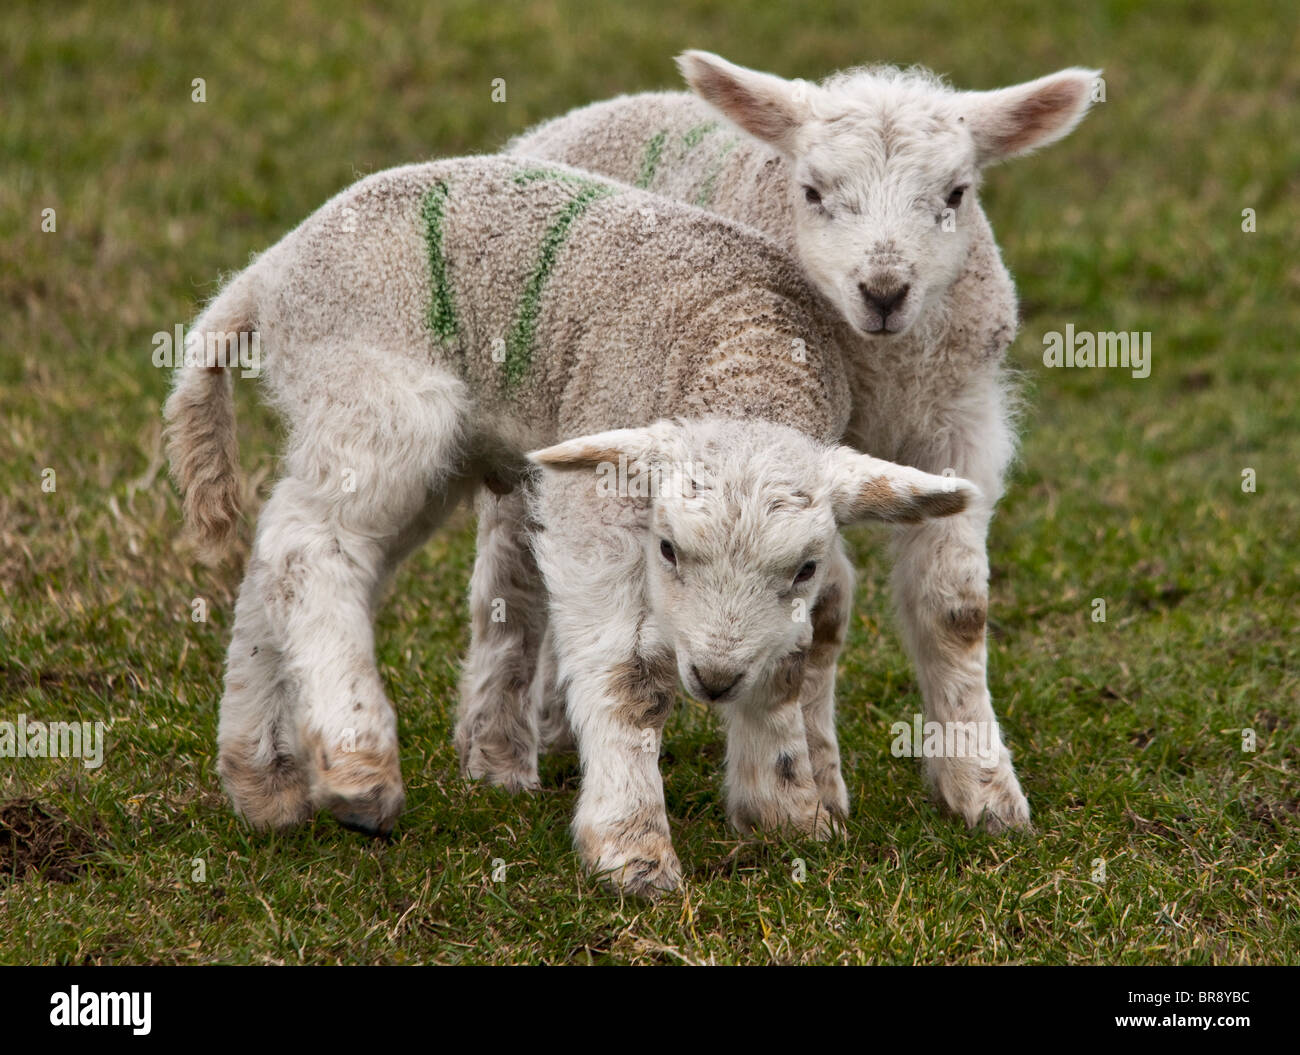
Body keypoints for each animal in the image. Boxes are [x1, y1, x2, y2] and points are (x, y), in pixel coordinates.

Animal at [164, 153, 969, 888]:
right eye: (668, 550)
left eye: (801, 567)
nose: (713, 678)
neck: (750, 355)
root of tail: (269, 272)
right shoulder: (597, 511)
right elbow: (635, 680)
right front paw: (633, 848)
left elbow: (789, 663)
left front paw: (785, 806)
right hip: (376, 394)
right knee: (311, 544)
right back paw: (358, 767)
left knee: (280, 555)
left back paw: (262, 777)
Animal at [465, 52, 1100, 834]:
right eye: (812, 191)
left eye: (957, 193)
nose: (884, 291)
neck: (884, 374)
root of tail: (581, 115)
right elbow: (823, 613)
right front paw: (815, 782)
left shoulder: (958, 425)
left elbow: (953, 608)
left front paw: (982, 789)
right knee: (511, 583)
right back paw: (498, 757)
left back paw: (556, 723)